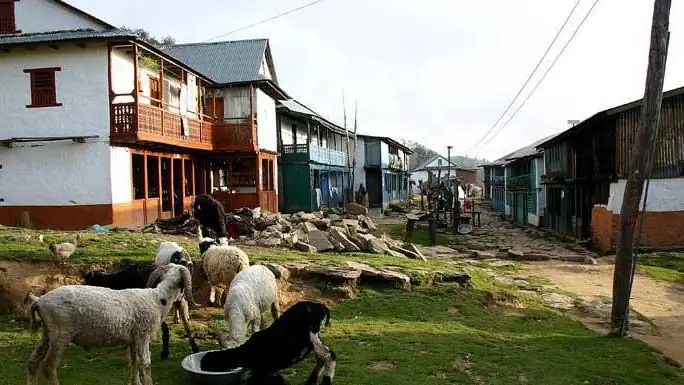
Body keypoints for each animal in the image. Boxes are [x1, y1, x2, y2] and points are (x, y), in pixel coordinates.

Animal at [26, 262, 196, 384]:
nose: (182, 299)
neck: (158, 299)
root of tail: (39, 302)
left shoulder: (133, 339)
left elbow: (134, 363)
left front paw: (135, 383)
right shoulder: (143, 336)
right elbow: (145, 364)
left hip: (48, 333)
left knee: (33, 362)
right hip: (61, 333)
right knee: (49, 367)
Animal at [199, 300, 336, 384]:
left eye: (207, 365)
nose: (202, 370)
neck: (244, 353)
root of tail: (320, 306)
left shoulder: (262, 370)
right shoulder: (267, 371)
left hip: (311, 334)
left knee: (328, 354)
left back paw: (325, 380)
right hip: (313, 337)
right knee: (323, 356)